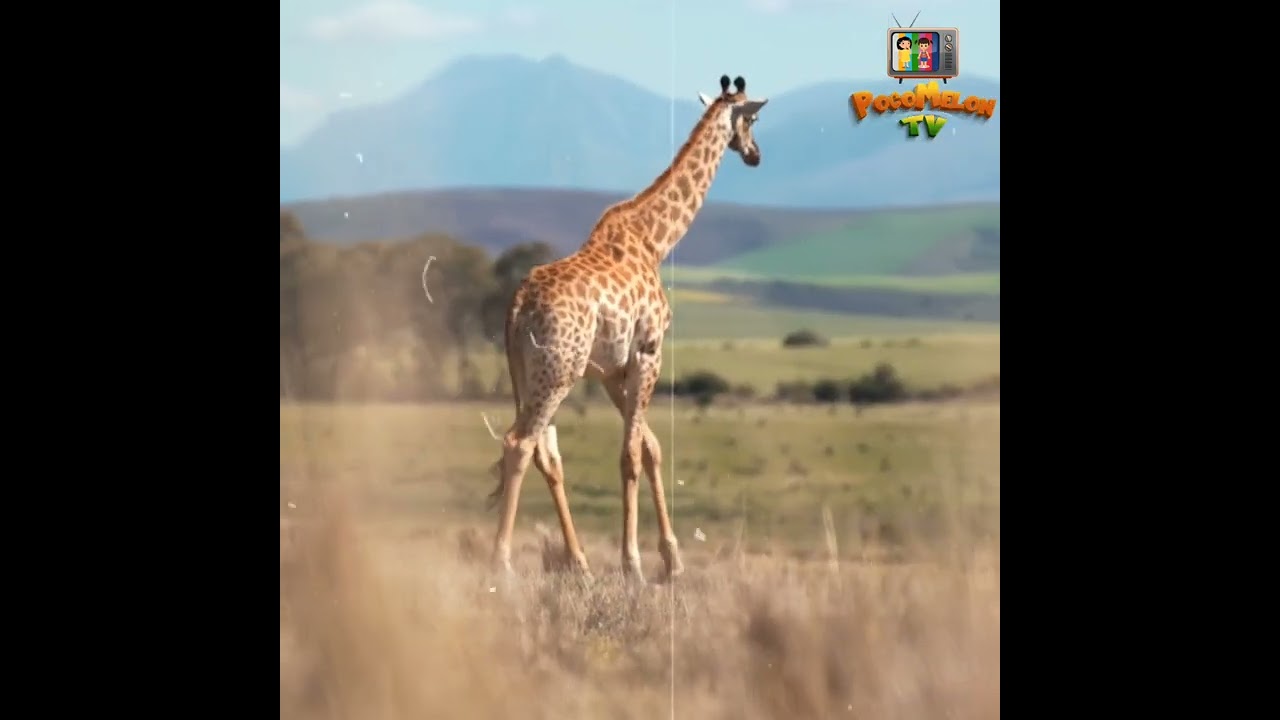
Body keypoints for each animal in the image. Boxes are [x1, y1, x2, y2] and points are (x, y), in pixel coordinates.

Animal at [486, 74, 769, 583]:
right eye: (753, 118)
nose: (756, 154)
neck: (656, 240)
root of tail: (516, 307)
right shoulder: (647, 353)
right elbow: (632, 455)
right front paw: (633, 563)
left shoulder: (610, 370)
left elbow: (650, 447)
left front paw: (672, 559)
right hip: (558, 371)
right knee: (520, 443)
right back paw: (501, 566)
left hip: (533, 373)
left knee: (544, 451)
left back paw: (578, 564)